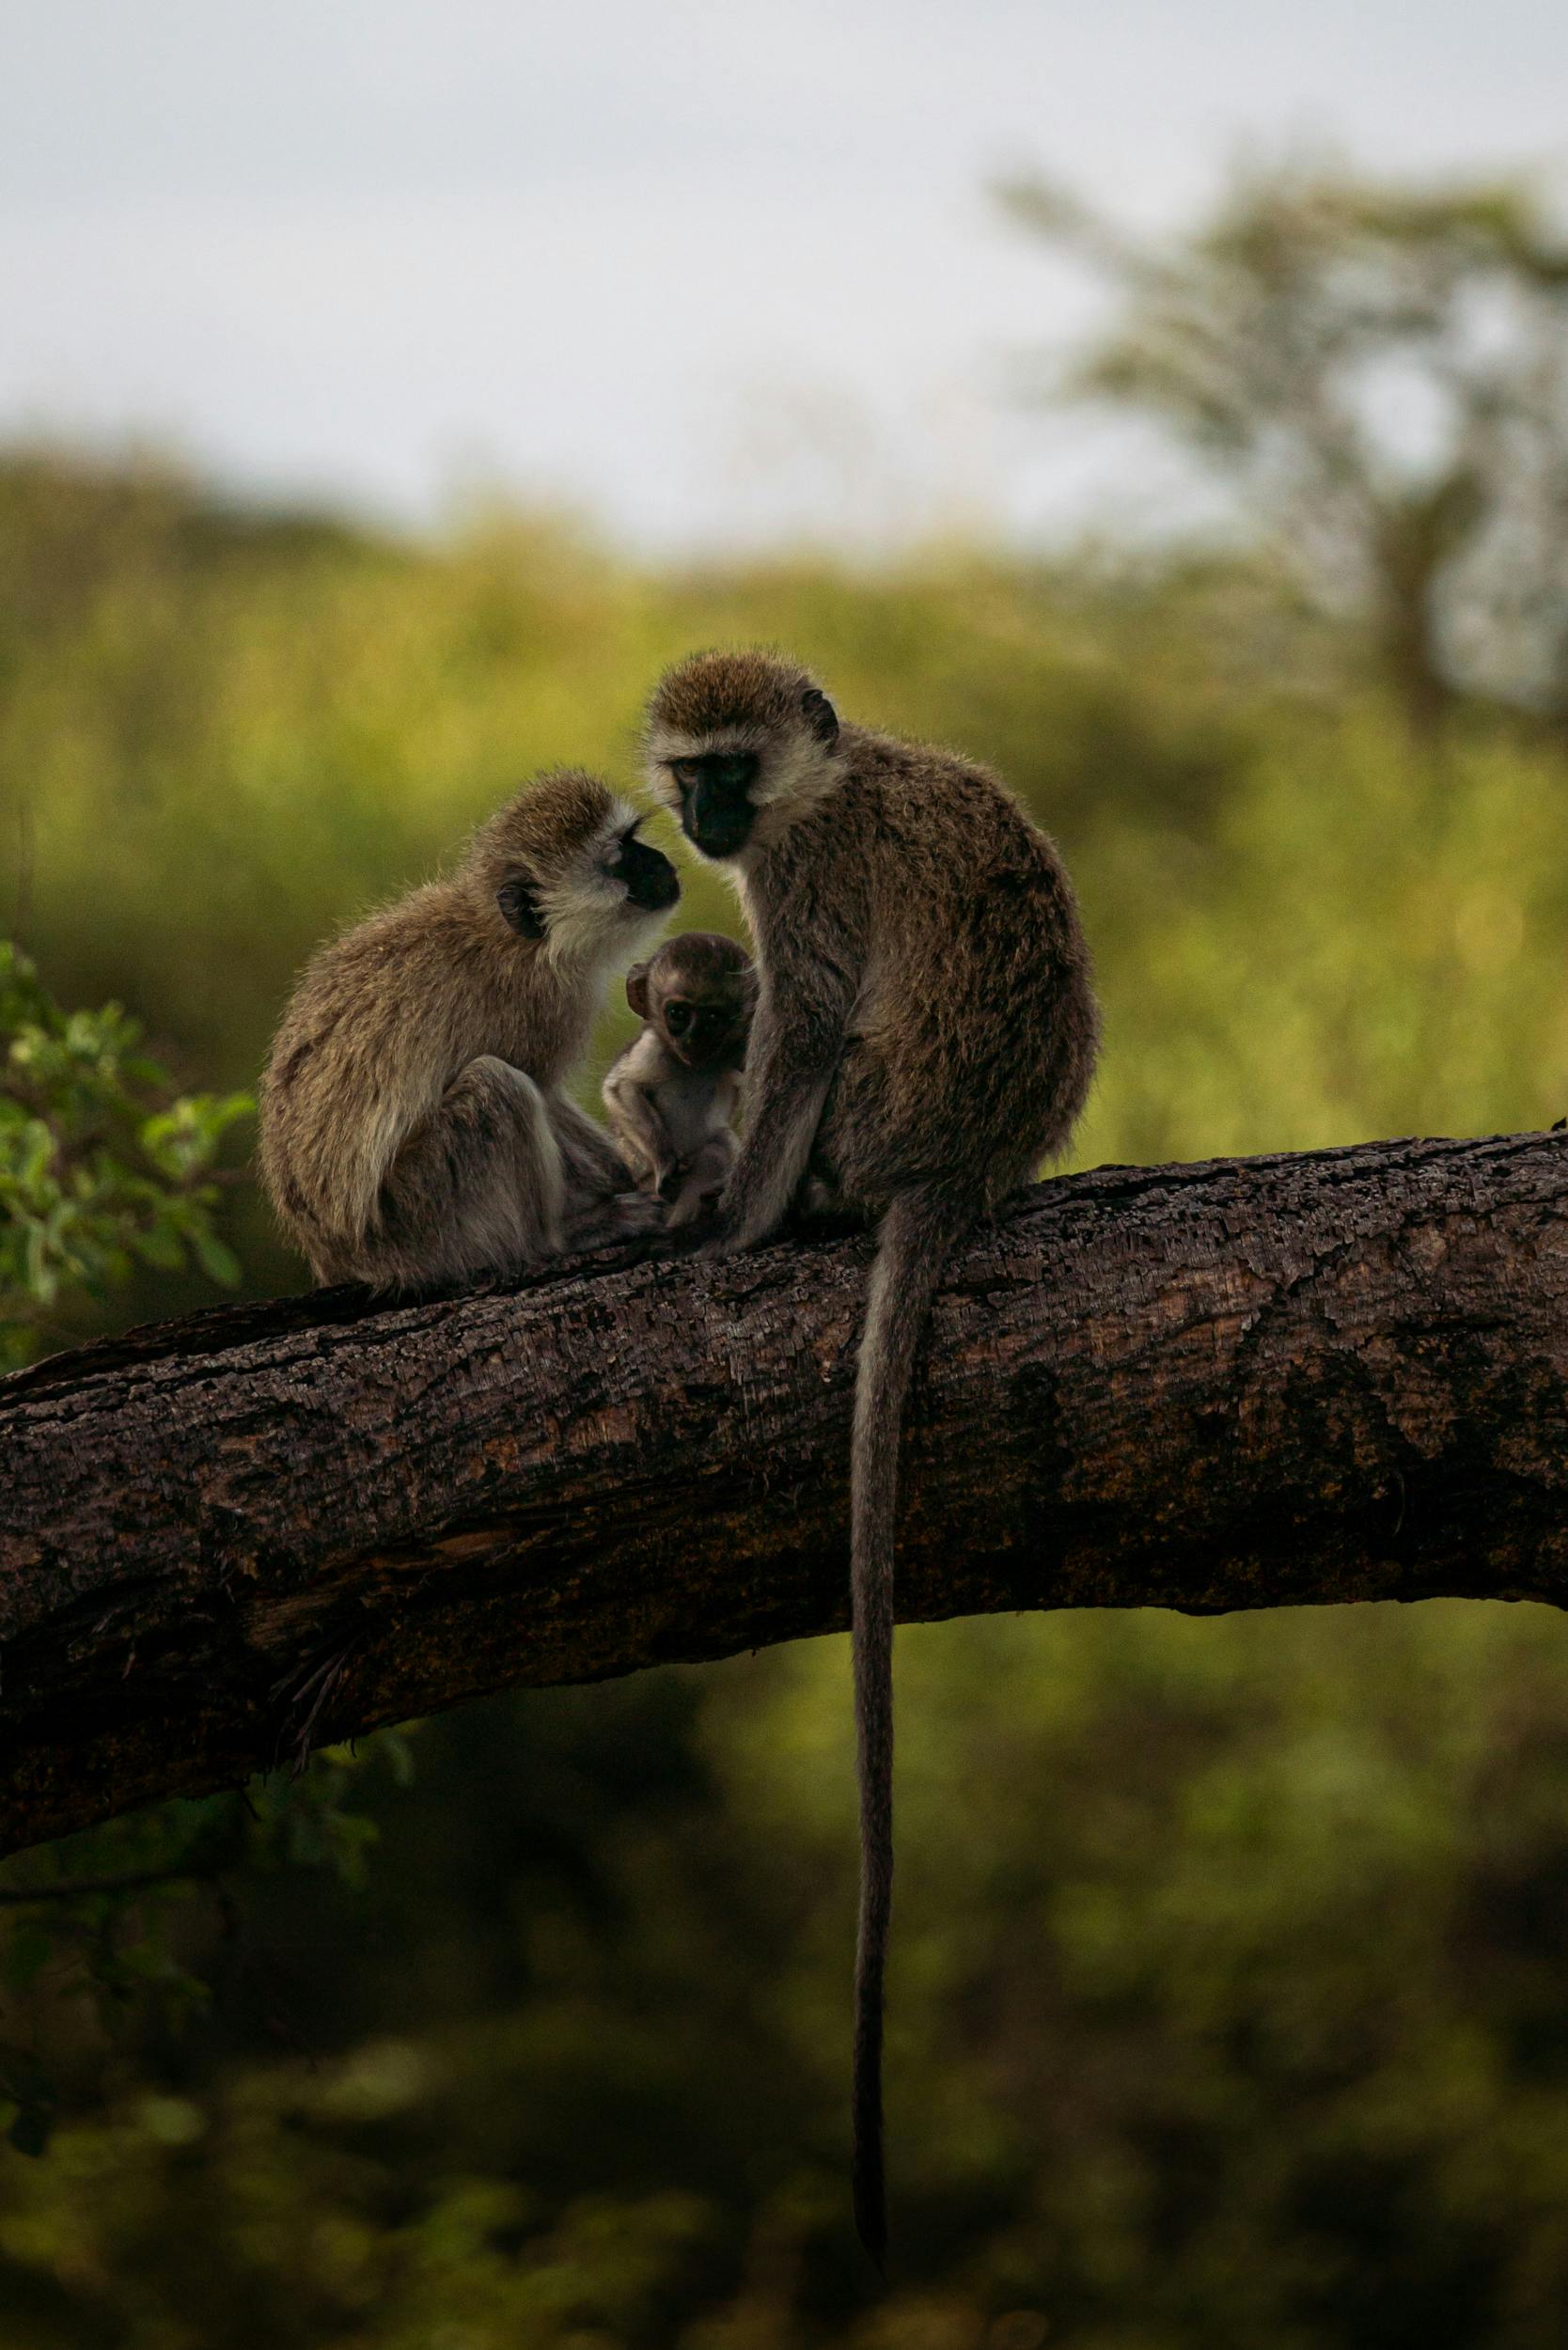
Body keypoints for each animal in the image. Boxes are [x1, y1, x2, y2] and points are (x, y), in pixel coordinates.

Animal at [258, 769, 680, 1291]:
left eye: (631, 838)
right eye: (618, 858)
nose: (660, 860)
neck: (513, 941)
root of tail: (338, 1259)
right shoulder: (542, 1008)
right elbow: (544, 1092)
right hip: (425, 1223)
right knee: (497, 1086)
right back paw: (558, 1237)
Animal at [600, 931, 756, 1231]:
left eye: (713, 1018)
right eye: (678, 1014)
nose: (694, 1038)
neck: (692, 1067)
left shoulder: (740, 1048)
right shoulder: (652, 1047)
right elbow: (621, 1088)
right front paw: (665, 1162)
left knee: (717, 1146)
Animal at [645, 649, 1098, 2268]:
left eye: (732, 768)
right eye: (687, 769)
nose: (703, 820)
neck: (829, 784)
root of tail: (959, 1166)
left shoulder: (802, 885)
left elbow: (805, 1026)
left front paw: (730, 1232)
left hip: (873, 1117)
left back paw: (803, 1208)